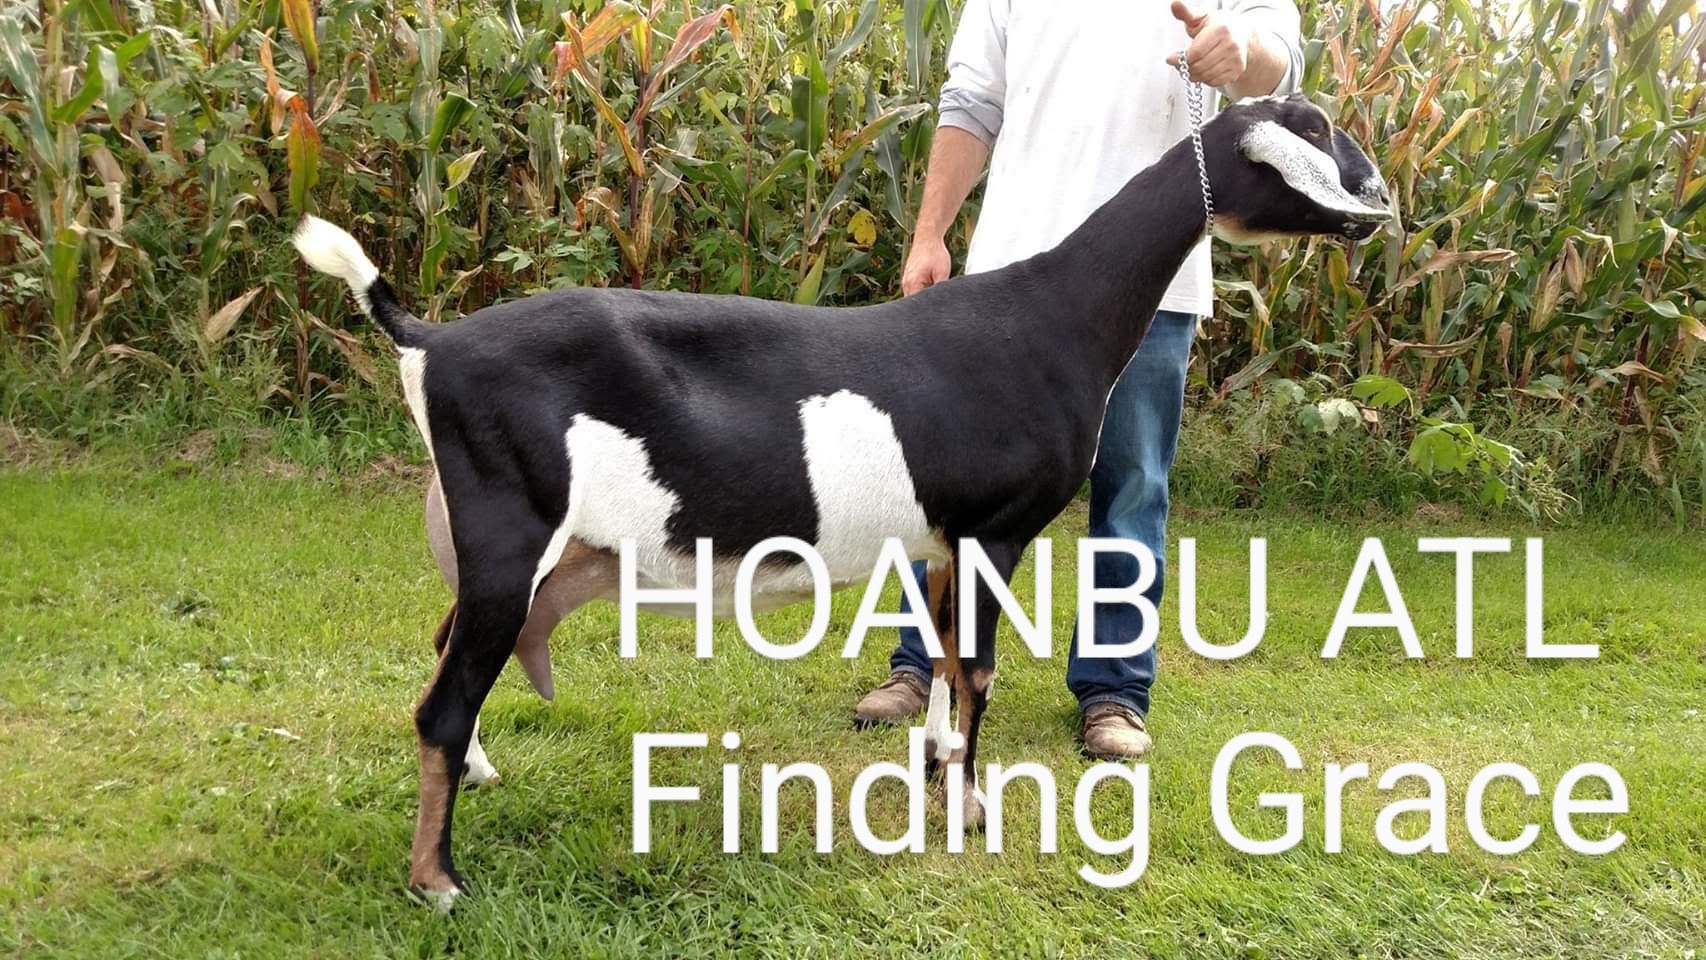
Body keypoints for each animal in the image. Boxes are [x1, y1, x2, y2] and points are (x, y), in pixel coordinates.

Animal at [295, 94, 1391, 905]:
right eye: (1320, 130)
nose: (1383, 203)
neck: (1052, 318)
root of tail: (430, 339)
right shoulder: (995, 527)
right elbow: (978, 668)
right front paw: (970, 810)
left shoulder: (942, 538)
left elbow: (945, 660)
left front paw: (939, 766)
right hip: (507, 529)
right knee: (443, 699)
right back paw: (438, 880)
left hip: (512, 548)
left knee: (449, 652)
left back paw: (479, 780)